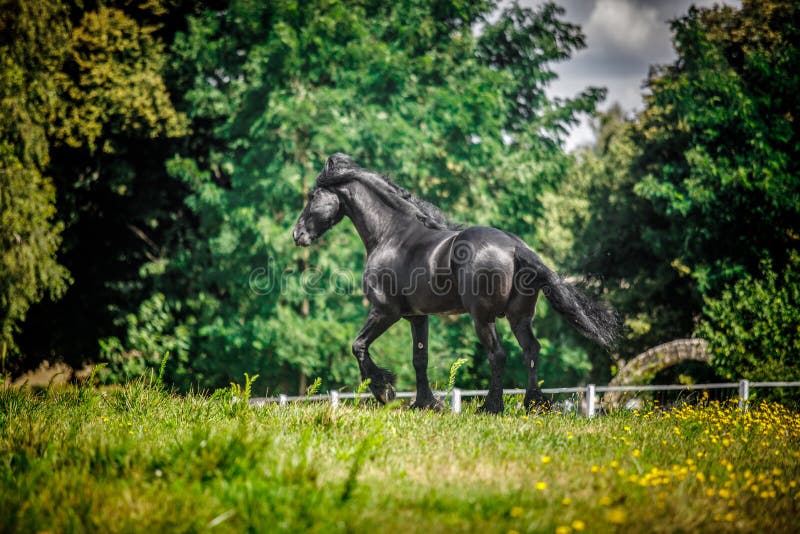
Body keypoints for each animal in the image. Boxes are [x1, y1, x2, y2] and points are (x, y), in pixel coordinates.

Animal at [292, 153, 618, 413]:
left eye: (312, 196)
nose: (297, 235)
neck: (392, 234)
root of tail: (516, 248)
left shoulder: (385, 311)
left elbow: (358, 345)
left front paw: (384, 391)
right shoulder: (416, 317)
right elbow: (420, 359)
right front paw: (425, 404)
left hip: (483, 318)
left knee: (498, 355)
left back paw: (491, 407)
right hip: (519, 318)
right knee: (531, 351)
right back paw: (533, 404)